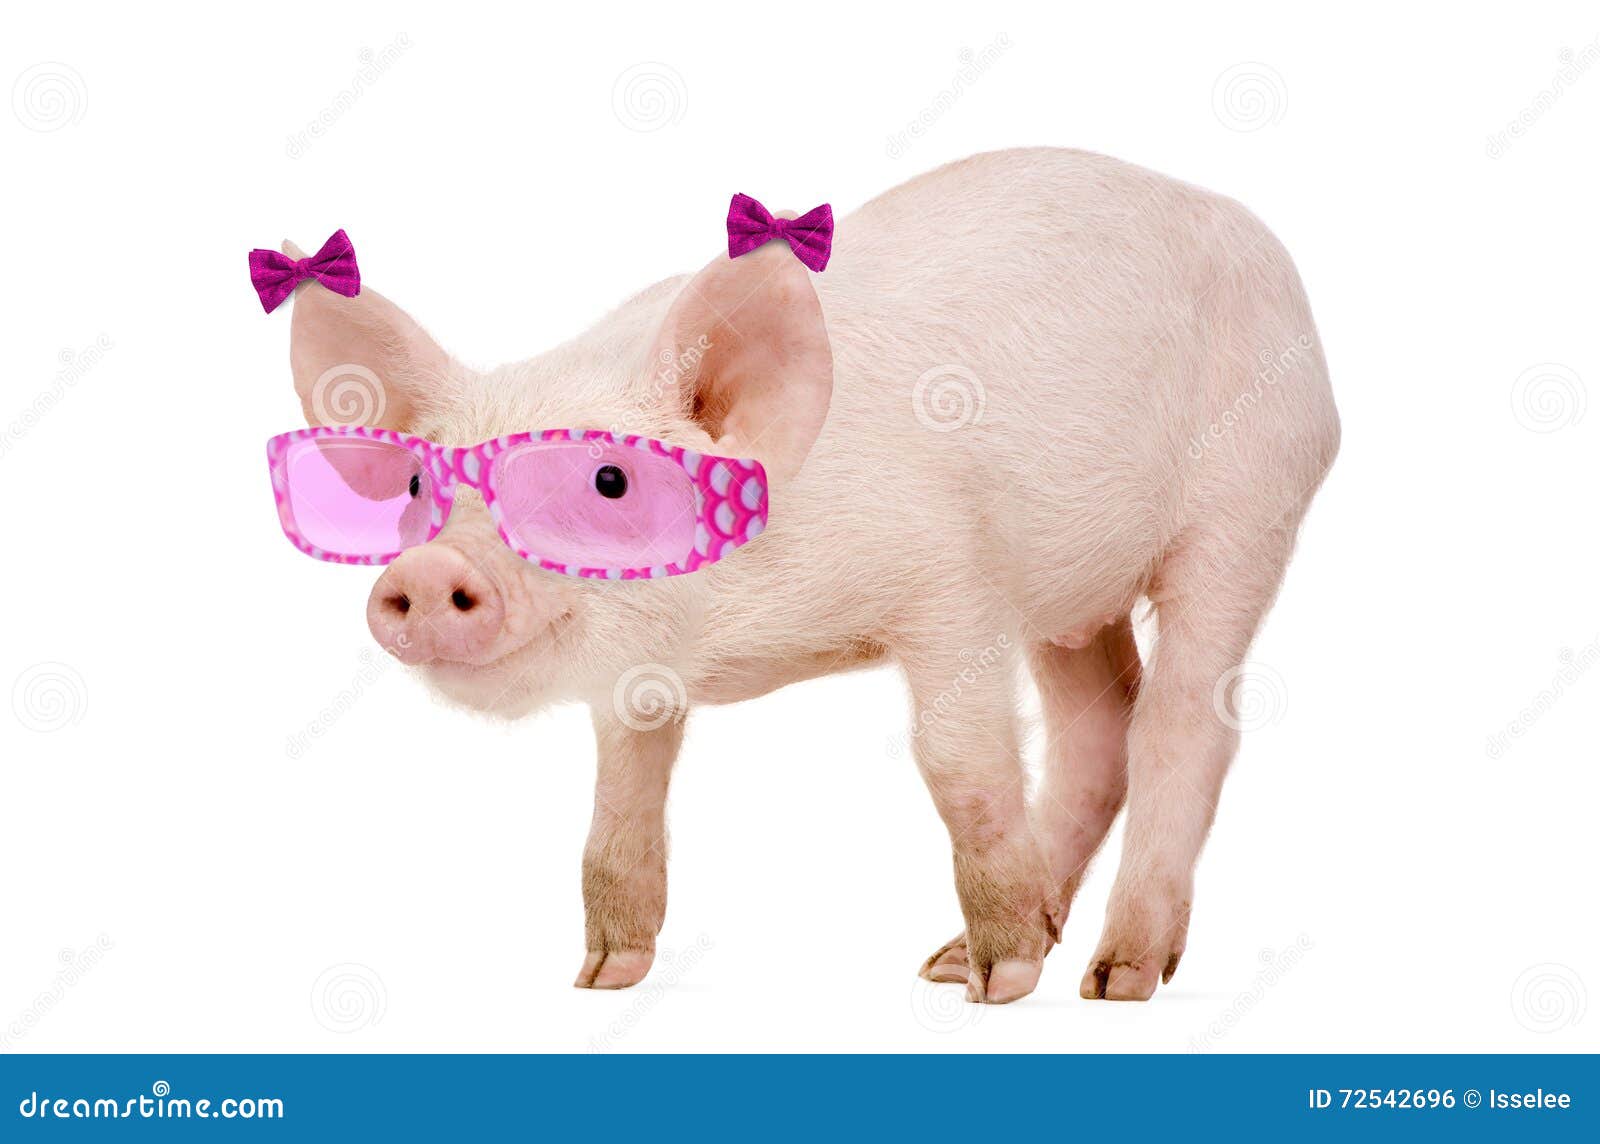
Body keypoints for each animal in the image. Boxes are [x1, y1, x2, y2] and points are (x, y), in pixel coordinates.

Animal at [277, 147, 1339, 1004]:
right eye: (420, 487)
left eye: (609, 480)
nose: (427, 571)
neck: (751, 637)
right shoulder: (639, 681)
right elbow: (619, 806)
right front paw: (603, 977)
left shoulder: (953, 583)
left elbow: (958, 765)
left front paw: (1000, 989)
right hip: (1071, 593)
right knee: (1101, 730)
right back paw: (956, 958)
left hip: (1249, 503)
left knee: (1184, 726)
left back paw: (1109, 980)